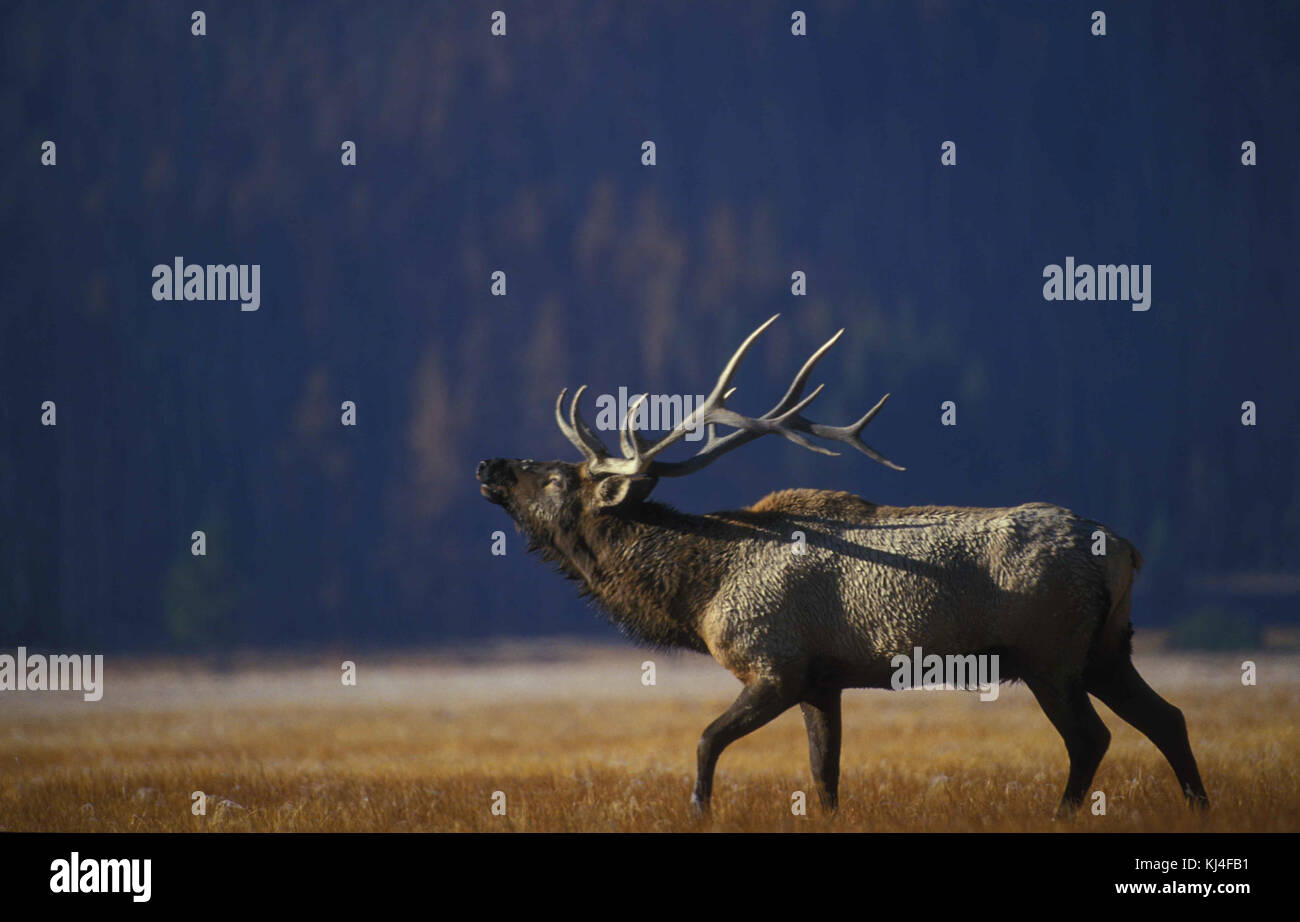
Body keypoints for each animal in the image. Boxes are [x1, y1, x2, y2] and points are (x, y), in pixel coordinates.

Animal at [476, 315, 1209, 817]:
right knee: (1168, 718)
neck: (699, 593)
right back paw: (1198, 808)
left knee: (1091, 738)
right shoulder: (822, 682)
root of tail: (1126, 550)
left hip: (1048, 654)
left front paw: (699, 812)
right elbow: (824, 777)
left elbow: (707, 742)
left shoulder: (775, 664)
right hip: (1108, 648)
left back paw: (1062, 816)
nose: (488, 464)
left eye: (555, 477)